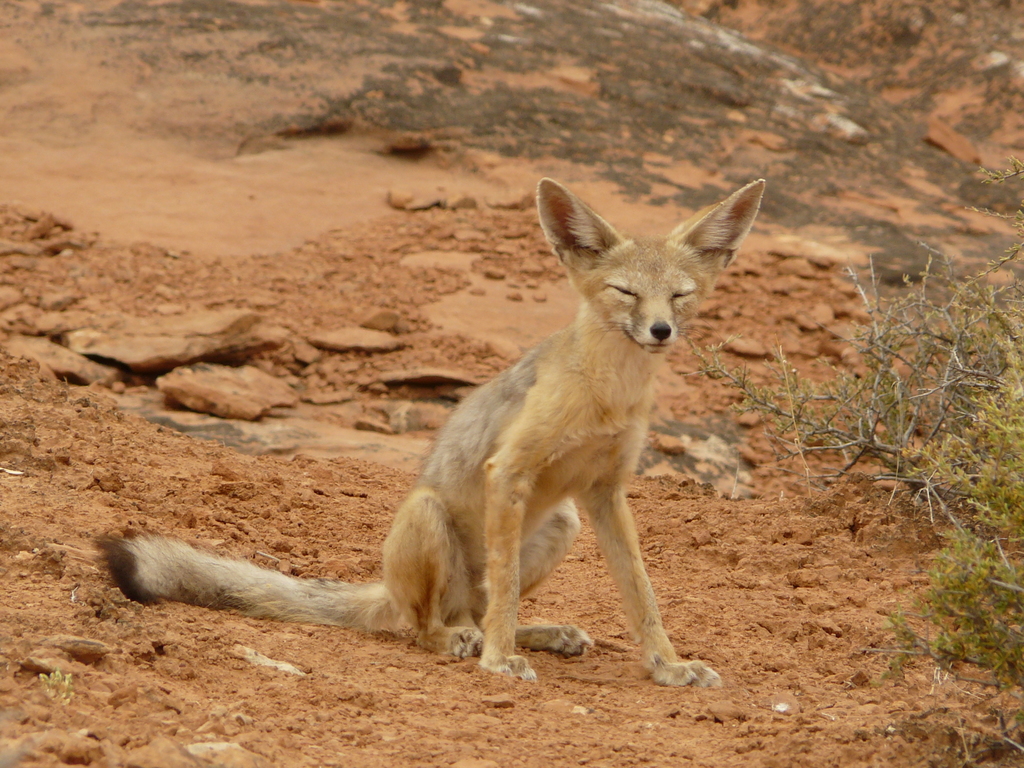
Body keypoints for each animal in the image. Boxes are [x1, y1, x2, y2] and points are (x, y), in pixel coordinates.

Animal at [99, 176, 764, 687]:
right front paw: (499, 663)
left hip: (562, 523)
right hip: (429, 515)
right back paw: (465, 643)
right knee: (429, 626)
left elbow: (641, 594)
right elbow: (512, 589)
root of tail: (390, 589)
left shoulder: (606, 491)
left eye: (680, 296)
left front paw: (668, 667)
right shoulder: (511, 470)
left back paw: (535, 633)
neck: (608, 394)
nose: (660, 331)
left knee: (487, 603)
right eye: (624, 291)